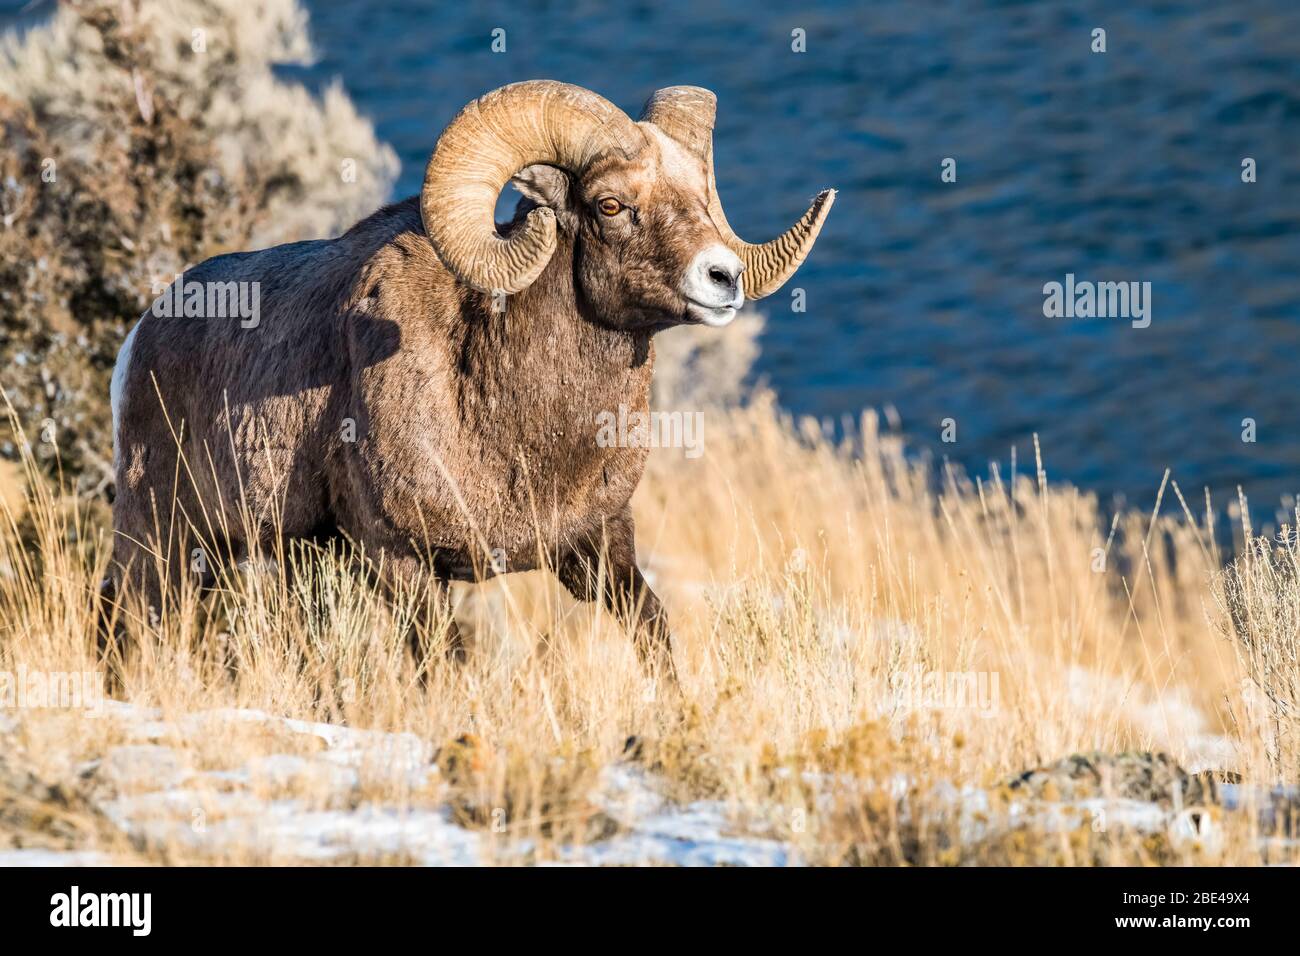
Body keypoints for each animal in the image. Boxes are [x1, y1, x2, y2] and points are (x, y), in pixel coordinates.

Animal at [109, 81, 835, 681]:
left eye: (700, 198)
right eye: (610, 204)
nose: (722, 278)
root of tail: (142, 336)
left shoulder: (596, 549)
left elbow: (652, 633)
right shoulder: (401, 563)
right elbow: (449, 665)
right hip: (159, 543)